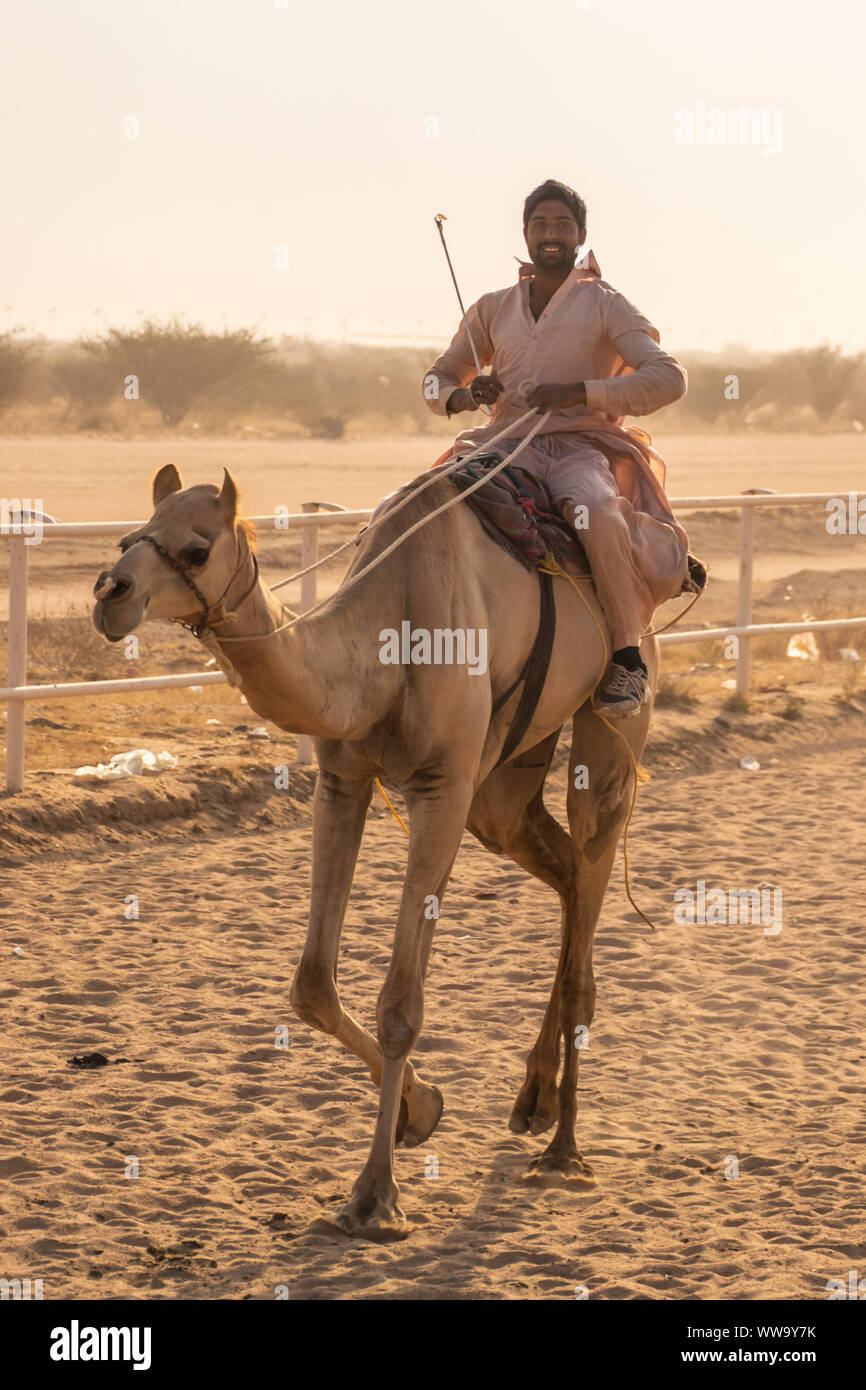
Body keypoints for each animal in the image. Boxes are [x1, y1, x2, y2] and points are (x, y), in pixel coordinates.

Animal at [92, 461, 657, 1240]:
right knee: (569, 870)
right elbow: (311, 985)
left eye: (197, 548)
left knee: (593, 839)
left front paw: (375, 1196)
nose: (109, 594)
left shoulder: (443, 789)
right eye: (128, 538)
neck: (386, 650)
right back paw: (534, 1101)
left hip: (611, 709)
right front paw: (422, 1109)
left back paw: (564, 1149)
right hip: (504, 787)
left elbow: (400, 1005)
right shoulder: (342, 778)